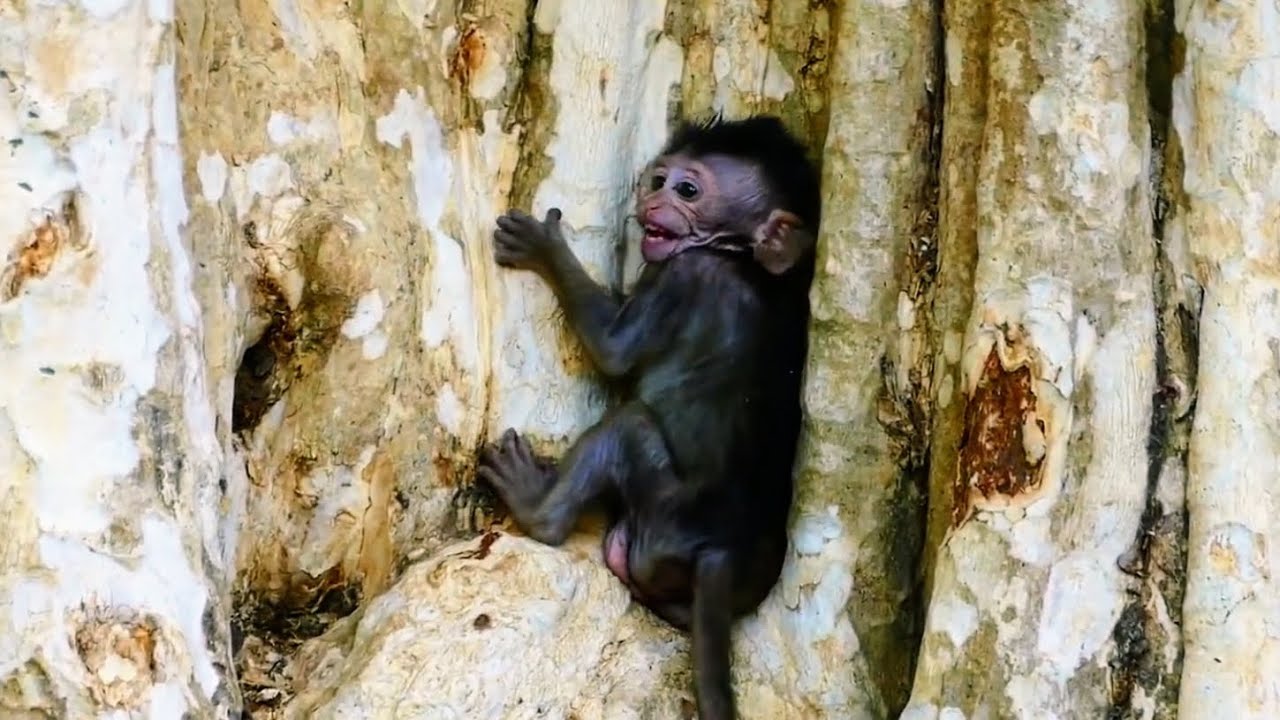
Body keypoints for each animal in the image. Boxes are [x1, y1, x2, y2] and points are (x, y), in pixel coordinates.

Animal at [477, 114, 819, 720]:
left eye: (687, 189)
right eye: (660, 179)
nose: (652, 199)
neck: (738, 256)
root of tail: (719, 549)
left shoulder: (683, 275)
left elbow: (613, 350)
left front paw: (545, 247)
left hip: (661, 514)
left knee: (627, 424)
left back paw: (534, 504)